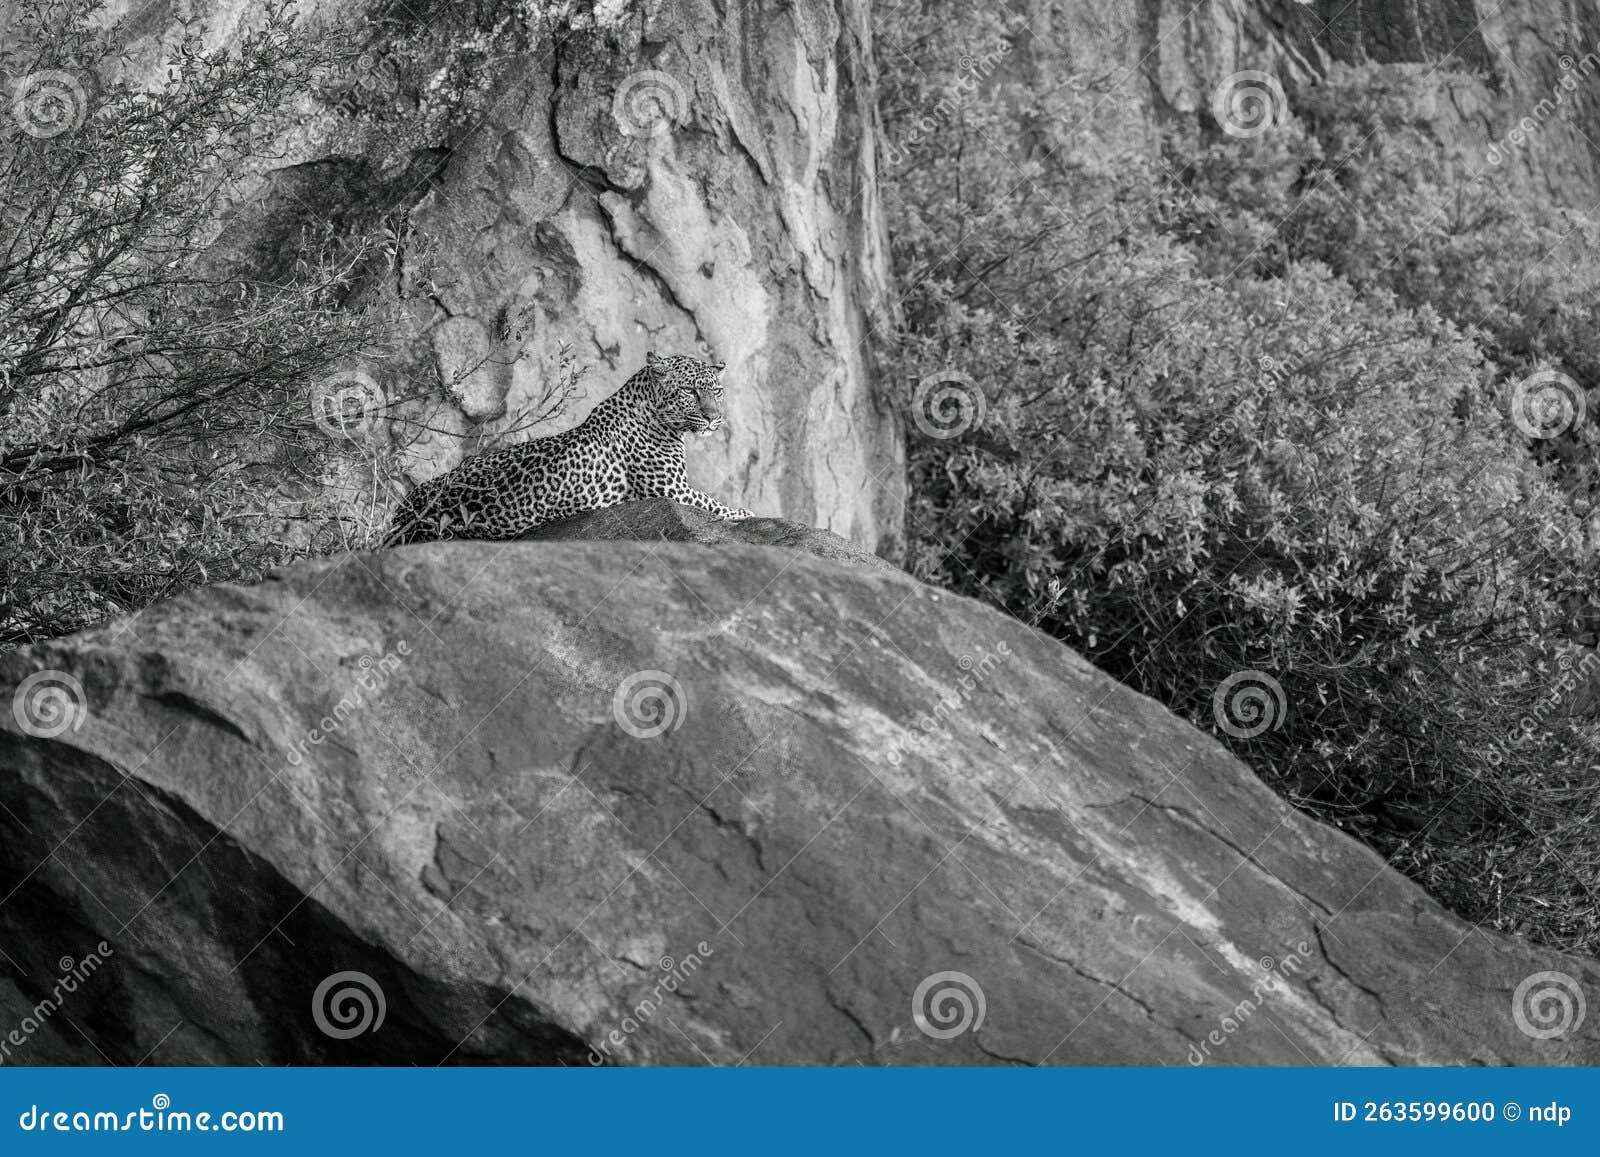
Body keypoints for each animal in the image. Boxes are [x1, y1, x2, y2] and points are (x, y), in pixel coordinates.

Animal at [382, 352, 754, 547]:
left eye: (717, 391)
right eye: (690, 391)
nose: (715, 418)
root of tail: (403, 515)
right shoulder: (673, 490)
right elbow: (717, 506)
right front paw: (746, 513)